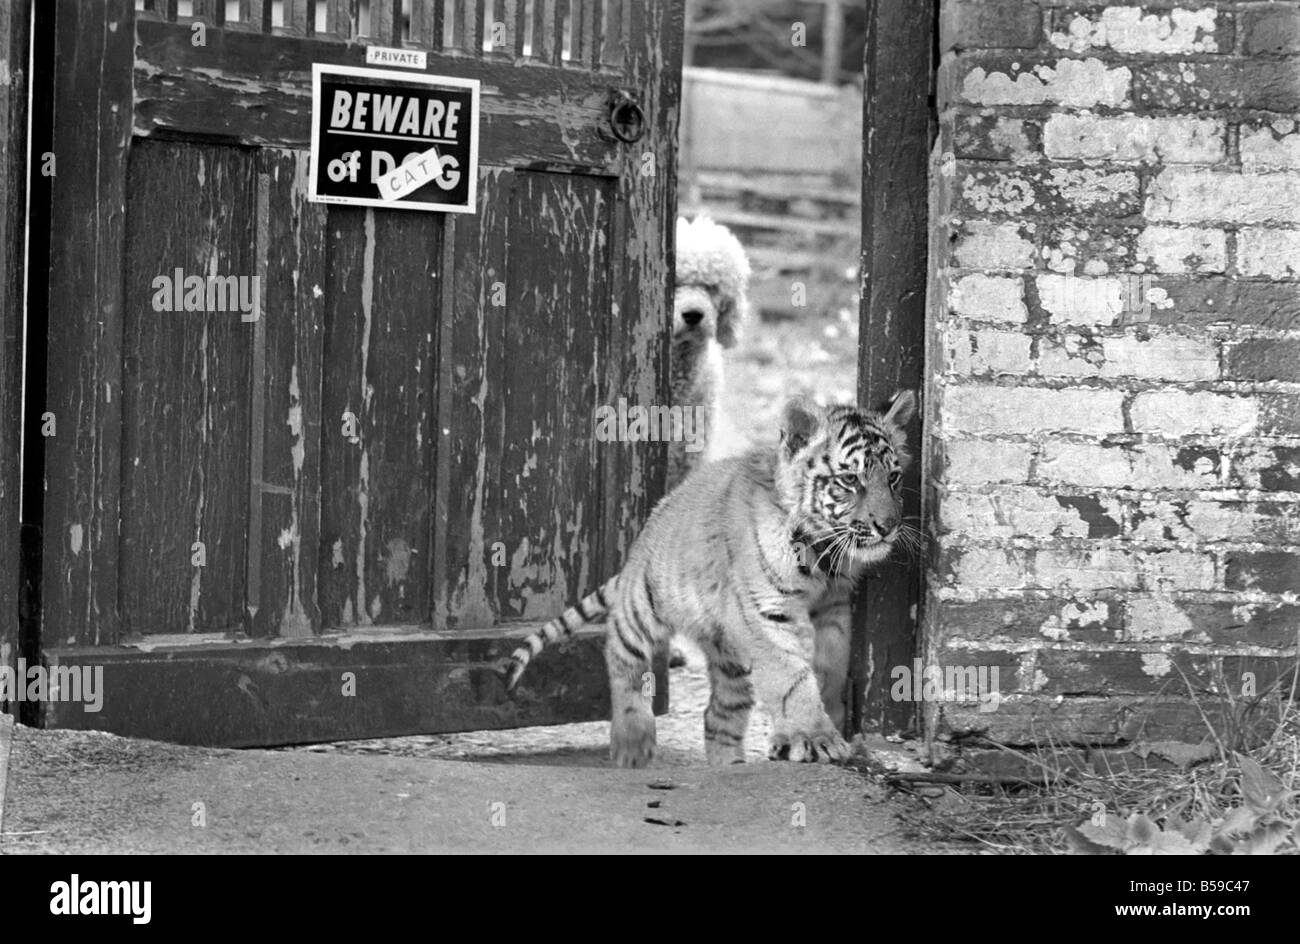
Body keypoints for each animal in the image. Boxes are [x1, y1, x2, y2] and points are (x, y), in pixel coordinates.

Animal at [505, 391, 918, 768]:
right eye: (849, 480)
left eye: (894, 478)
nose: (888, 526)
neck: (825, 553)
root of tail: (648, 530)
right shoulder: (767, 611)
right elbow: (790, 676)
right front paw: (815, 736)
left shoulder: (833, 607)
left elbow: (829, 667)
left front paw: (826, 720)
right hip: (645, 603)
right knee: (622, 655)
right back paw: (632, 742)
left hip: (730, 655)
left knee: (719, 714)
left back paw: (728, 766)